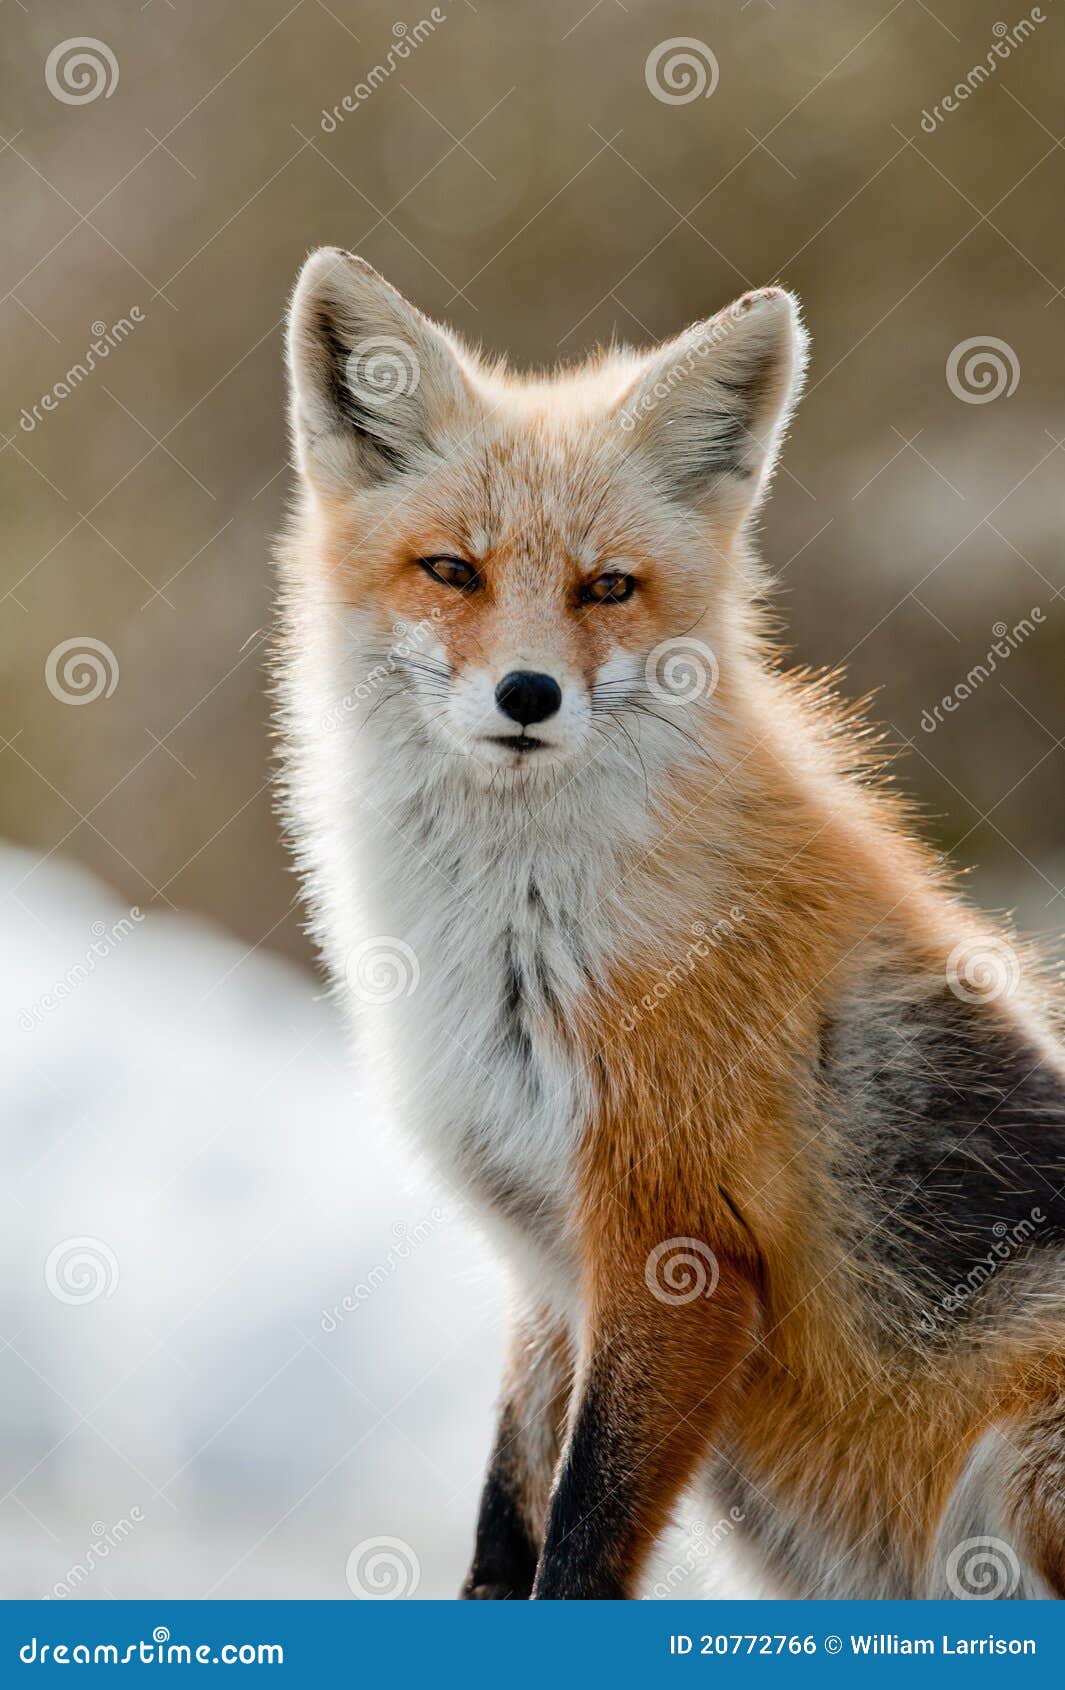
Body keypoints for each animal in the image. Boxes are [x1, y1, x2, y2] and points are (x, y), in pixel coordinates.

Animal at [275, 247, 1065, 1601]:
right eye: (453, 571)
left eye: (607, 587)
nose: (528, 694)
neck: (518, 934)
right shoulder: (550, 1259)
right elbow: (507, 1523)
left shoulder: (677, 1245)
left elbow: (581, 1541)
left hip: (1016, 1465)